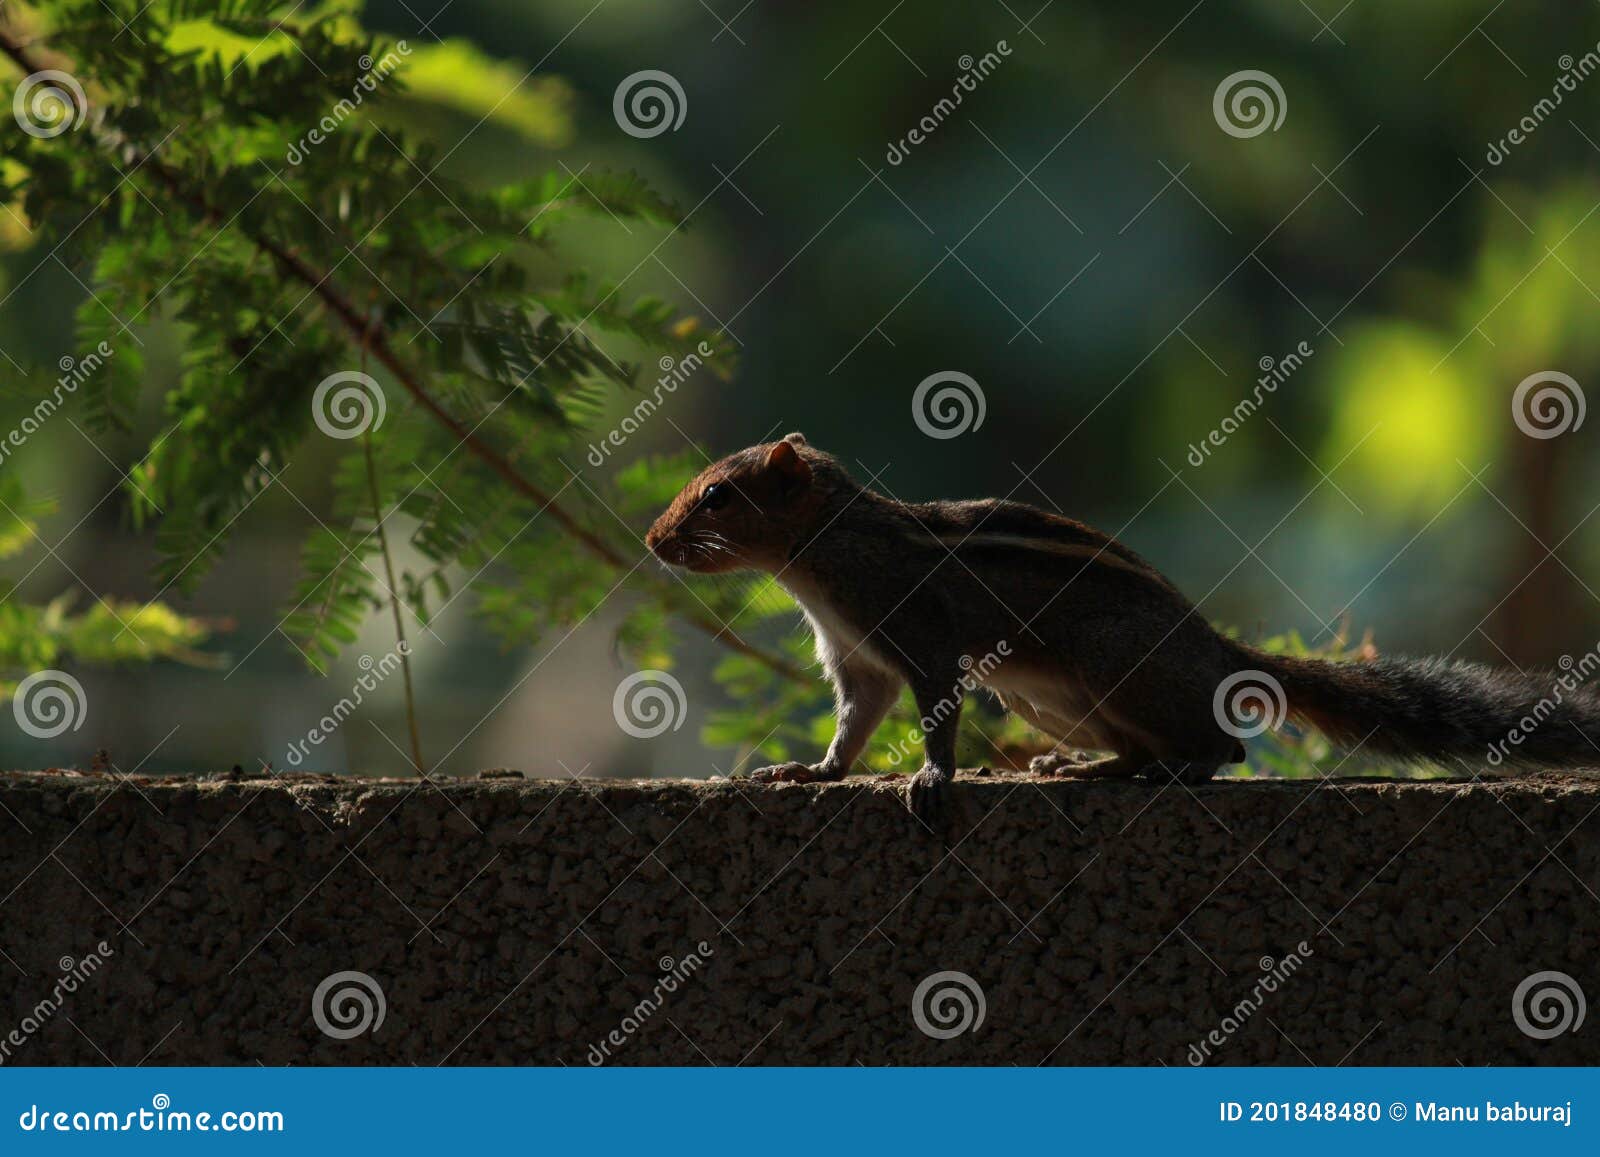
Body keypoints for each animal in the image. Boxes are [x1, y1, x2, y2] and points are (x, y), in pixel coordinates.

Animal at [645, 433, 1600, 825]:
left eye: (717, 495)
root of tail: (1214, 650)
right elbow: (852, 723)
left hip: (1113, 663)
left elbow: (935, 716)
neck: (823, 554)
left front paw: (931, 778)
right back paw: (1082, 766)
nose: (653, 541)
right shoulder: (858, 659)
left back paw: (1177, 765)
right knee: (1136, 747)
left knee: (1226, 747)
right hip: (1044, 699)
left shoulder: (919, 634)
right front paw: (813, 770)